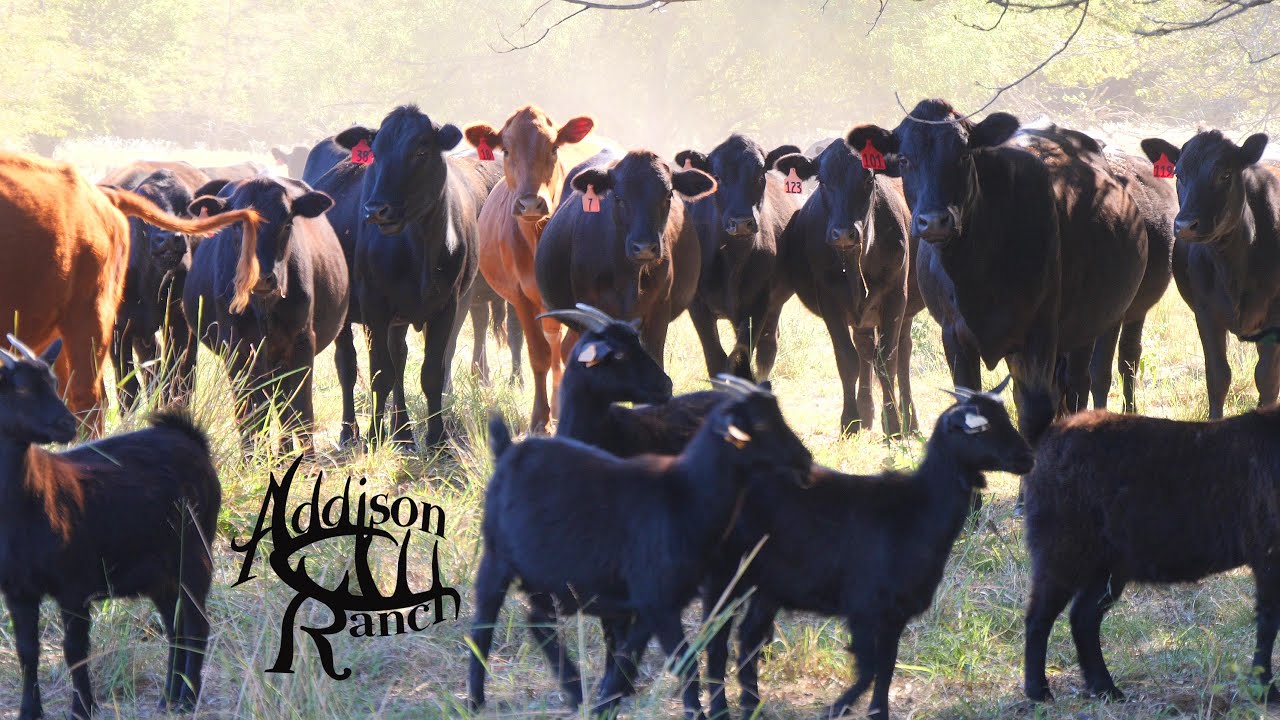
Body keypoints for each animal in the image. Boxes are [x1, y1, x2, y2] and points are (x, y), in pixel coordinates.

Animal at [0, 335, 220, 720]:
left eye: (54, 383)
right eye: (22, 389)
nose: (68, 425)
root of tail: (191, 440)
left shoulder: (74, 584)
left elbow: (75, 650)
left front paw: (82, 708)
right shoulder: (17, 590)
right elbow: (27, 652)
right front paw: (30, 711)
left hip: (195, 556)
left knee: (196, 626)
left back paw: (187, 699)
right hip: (161, 575)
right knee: (175, 628)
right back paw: (168, 697)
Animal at [468, 375, 813, 720]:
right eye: (761, 424)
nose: (806, 461)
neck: (683, 495)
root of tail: (508, 450)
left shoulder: (651, 603)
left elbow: (628, 659)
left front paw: (605, 705)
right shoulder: (658, 599)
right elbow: (684, 661)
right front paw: (693, 712)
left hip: (546, 577)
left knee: (538, 622)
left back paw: (575, 692)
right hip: (496, 559)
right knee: (484, 624)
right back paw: (476, 700)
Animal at [704, 377, 1034, 720]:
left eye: (1005, 417)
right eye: (979, 428)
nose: (1027, 457)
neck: (918, 509)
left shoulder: (894, 615)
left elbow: (885, 670)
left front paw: (876, 712)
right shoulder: (863, 607)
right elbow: (869, 670)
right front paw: (835, 708)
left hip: (767, 588)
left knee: (748, 639)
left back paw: (751, 705)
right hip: (724, 576)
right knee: (715, 641)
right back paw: (718, 709)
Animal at [1023, 402, 1280, 702]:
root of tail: (1046, 434)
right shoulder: (1269, 558)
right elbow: (1268, 624)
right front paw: (1265, 688)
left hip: (1107, 568)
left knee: (1083, 618)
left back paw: (1104, 687)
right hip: (1062, 553)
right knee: (1039, 618)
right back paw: (1038, 691)